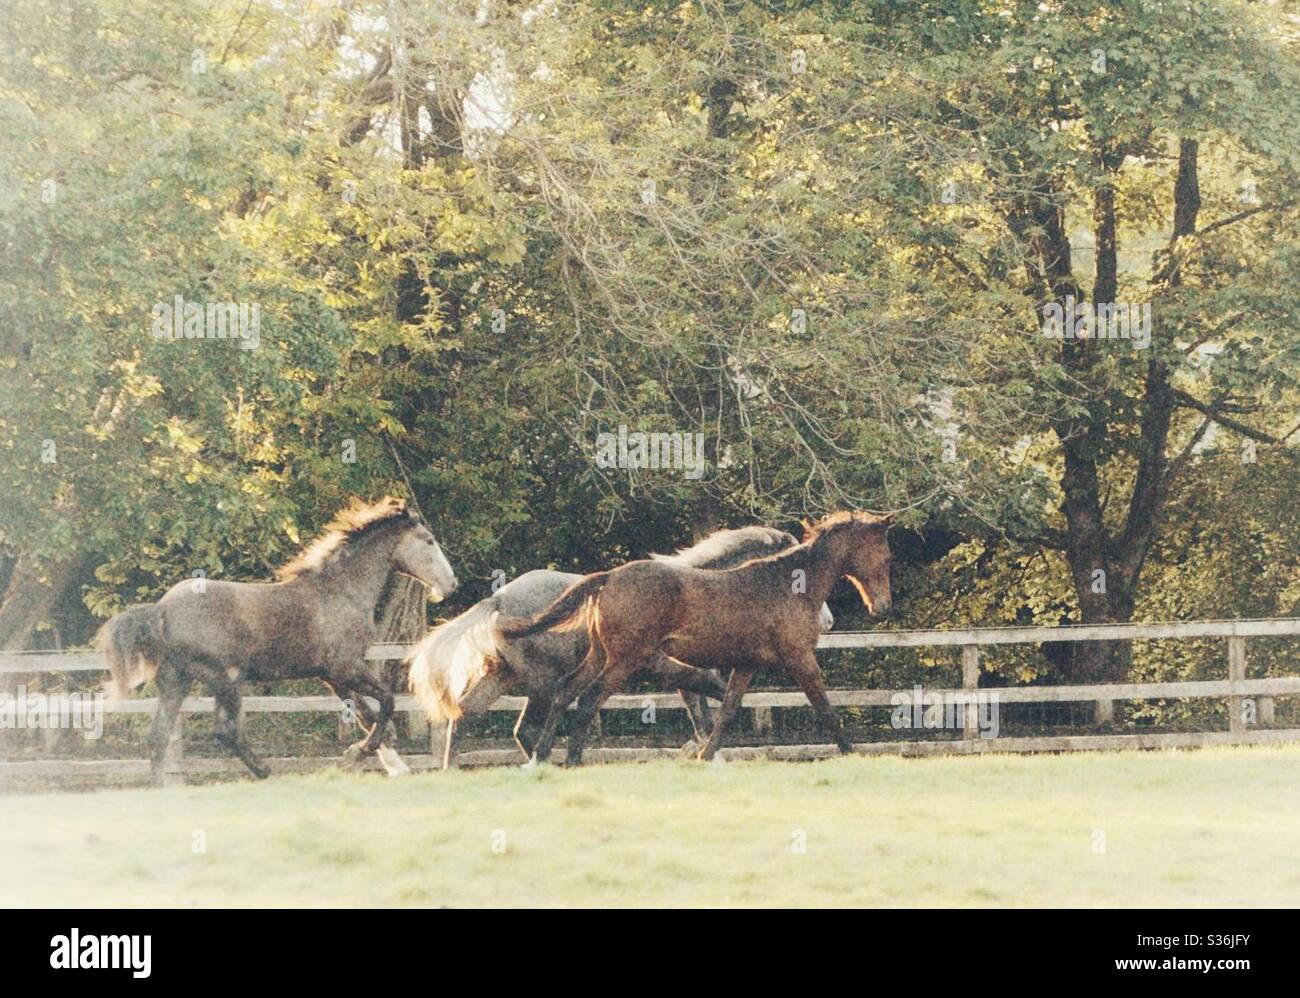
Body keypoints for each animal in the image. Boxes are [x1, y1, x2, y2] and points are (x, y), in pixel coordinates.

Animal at [95, 497, 457, 785]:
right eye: (428, 541)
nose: (451, 584)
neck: (342, 591)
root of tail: (161, 609)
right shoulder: (344, 667)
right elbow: (387, 702)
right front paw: (359, 753)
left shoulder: (331, 675)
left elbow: (368, 714)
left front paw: (390, 762)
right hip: (223, 679)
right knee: (225, 731)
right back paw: (266, 772)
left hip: (176, 680)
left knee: (158, 735)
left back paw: (161, 789)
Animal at [407, 526, 834, 765]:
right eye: (797, 572)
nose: (828, 621)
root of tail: (499, 599)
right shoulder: (673, 668)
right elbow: (712, 696)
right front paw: (708, 752)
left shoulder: (679, 675)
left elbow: (702, 711)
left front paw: (704, 750)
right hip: (541, 684)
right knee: (525, 729)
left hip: (504, 678)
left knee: (464, 714)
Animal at [498, 510, 891, 765]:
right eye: (886, 557)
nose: (883, 606)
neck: (788, 586)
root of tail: (608, 577)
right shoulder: (799, 658)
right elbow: (824, 706)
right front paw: (850, 752)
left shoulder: (746, 665)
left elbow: (728, 709)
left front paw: (706, 754)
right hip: (623, 660)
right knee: (589, 698)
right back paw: (570, 760)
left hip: (599, 655)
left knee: (566, 692)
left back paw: (543, 758)